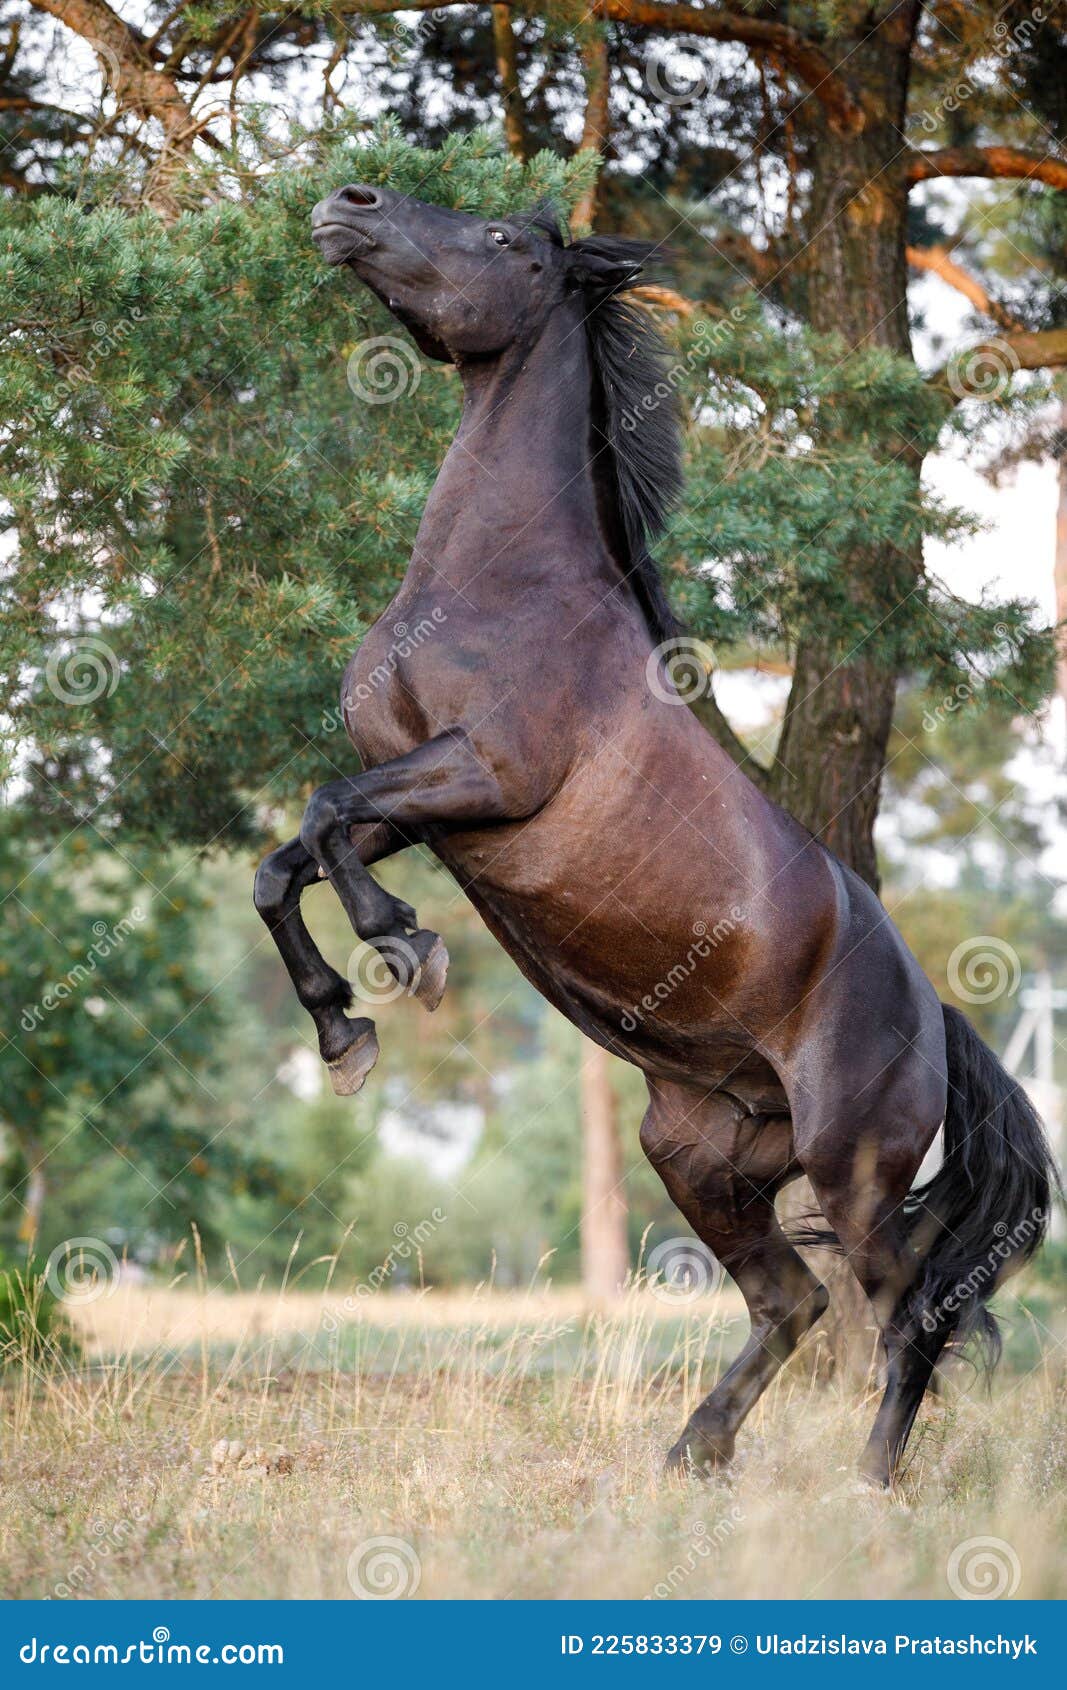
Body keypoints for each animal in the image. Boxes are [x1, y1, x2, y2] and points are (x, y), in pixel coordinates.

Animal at [253, 181, 1058, 1488]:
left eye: (500, 241)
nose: (348, 203)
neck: (504, 584)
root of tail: (935, 1014)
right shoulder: (421, 801)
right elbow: (284, 863)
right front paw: (341, 1029)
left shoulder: (484, 776)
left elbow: (321, 819)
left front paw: (402, 953)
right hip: (698, 1158)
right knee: (792, 1301)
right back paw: (693, 1452)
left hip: (851, 1171)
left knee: (908, 1309)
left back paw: (865, 1484)